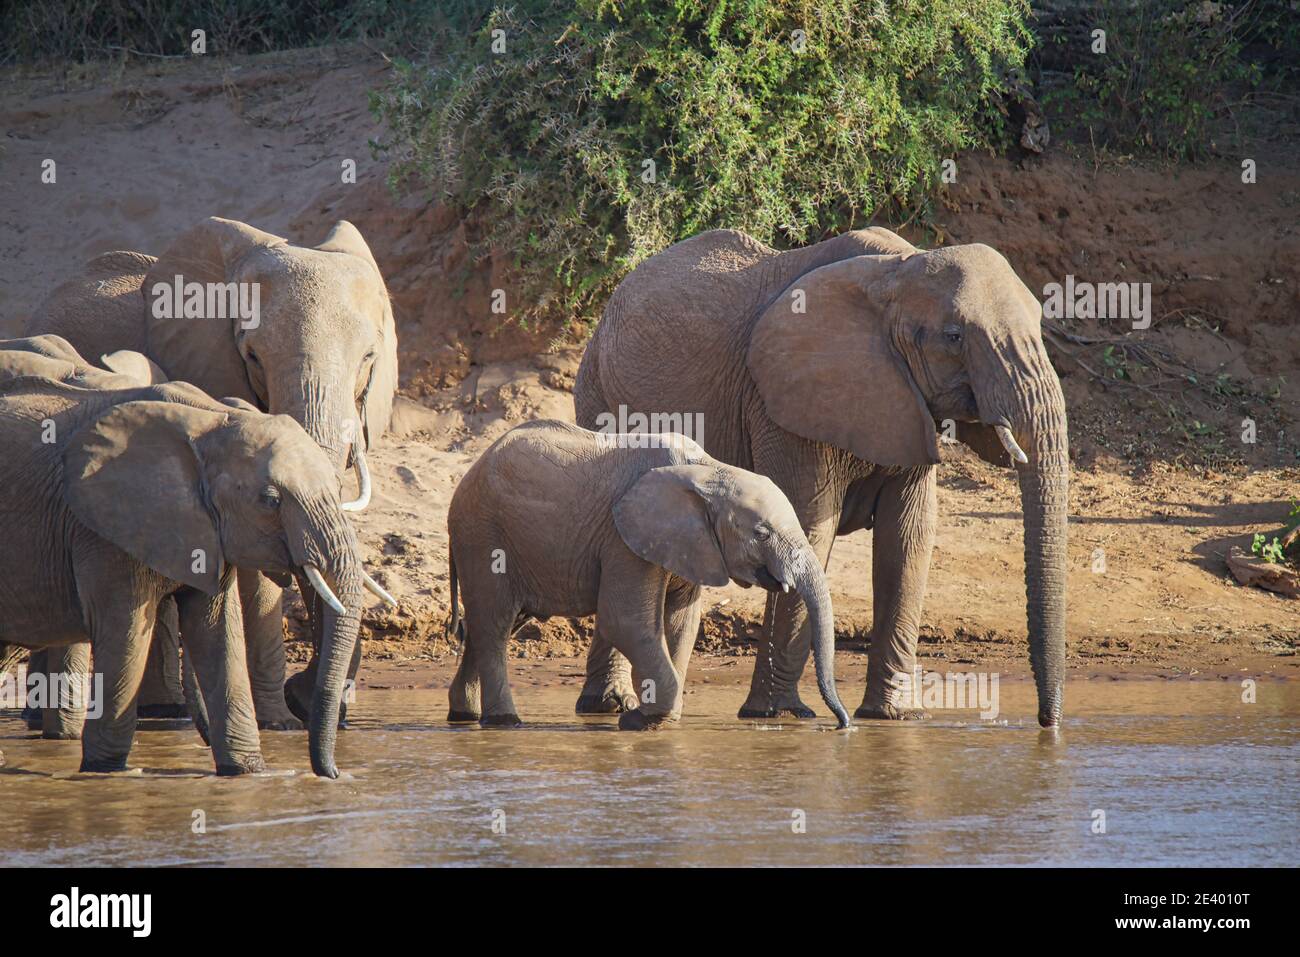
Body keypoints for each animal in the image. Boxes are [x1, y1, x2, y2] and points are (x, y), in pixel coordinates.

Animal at [0, 369, 368, 776]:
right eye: (270, 501)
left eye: (338, 488)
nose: (333, 773)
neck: (210, 419)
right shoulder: (104, 528)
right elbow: (125, 633)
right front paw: (108, 771)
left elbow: (217, 631)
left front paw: (249, 772)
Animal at [445, 420, 850, 730]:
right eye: (761, 533)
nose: (842, 724)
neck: (709, 469)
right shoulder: (623, 538)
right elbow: (625, 621)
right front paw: (640, 720)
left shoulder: (689, 544)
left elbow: (682, 624)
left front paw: (655, 718)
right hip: (483, 537)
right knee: (495, 624)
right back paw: (504, 722)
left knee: (492, 625)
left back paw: (464, 715)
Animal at [574, 228, 1069, 728]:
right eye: (953, 337)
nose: (1048, 723)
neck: (895, 270)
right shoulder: (782, 401)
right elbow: (812, 526)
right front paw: (780, 714)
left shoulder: (908, 402)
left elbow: (907, 539)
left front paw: (895, 716)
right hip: (598, 394)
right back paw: (607, 706)